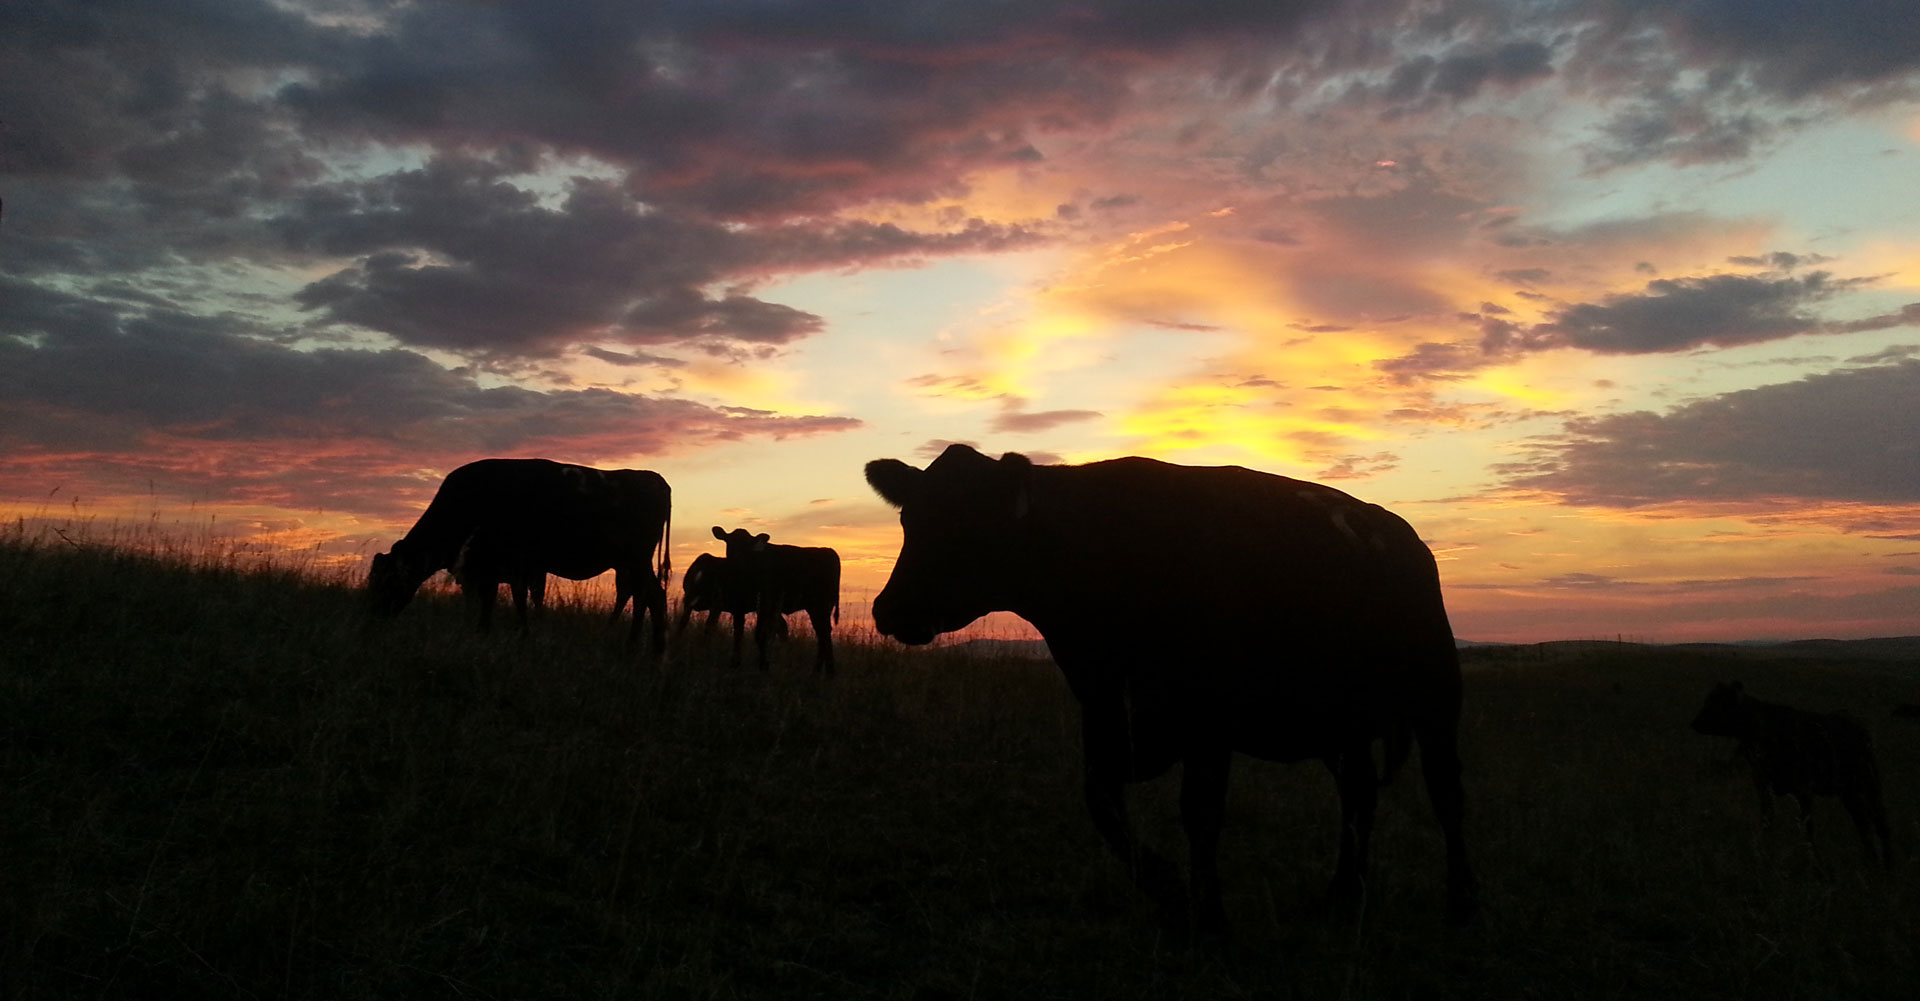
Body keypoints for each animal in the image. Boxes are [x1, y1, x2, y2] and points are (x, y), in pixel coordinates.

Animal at [367, 458, 672, 654]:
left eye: (386, 581)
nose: (373, 615)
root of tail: (655, 479)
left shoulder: (507, 567)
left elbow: (515, 601)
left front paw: (516, 634)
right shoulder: (493, 571)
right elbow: (499, 602)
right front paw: (487, 632)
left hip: (636, 561)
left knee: (648, 595)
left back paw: (641, 646)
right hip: (632, 563)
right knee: (647, 595)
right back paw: (648, 647)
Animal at [710, 527, 840, 674]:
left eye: (748, 544)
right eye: (729, 542)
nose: (737, 560)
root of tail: (829, 551)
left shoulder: (765, 603)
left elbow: (761, 634)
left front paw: (763, 667)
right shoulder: (740, 605)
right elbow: (738, 633)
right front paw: (735, 664)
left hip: (820, 606)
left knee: (824, 633)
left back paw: (828, 672)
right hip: (816, 608)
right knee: (823, 633)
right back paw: (818, 672)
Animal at [864, 444, 1476, 939]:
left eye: (965, 523)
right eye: (910, 519)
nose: (887, 609)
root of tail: (1403, 539)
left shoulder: (1208, 722)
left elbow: (1199, 814)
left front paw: (1207, 916)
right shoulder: (1107, 711)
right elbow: (1102, 803)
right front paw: (1172, 894)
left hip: (1437, 700)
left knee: (1446, 797)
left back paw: (1457, 909)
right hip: (1341, 725)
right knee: (1360, 797)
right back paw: (1343, 898)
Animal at [1691, 681, 1892, 864]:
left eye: (1719, 703)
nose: (1695, 723)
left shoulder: (1803, 790)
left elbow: (1807, 828)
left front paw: (1815, 863)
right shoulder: (1763, 785)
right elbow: (1767, 820)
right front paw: (1765, 851)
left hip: (1868, 784)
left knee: (1879, 820)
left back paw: (1886, 862)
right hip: (1850, 792)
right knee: (1863, 822)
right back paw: (1872, 859)